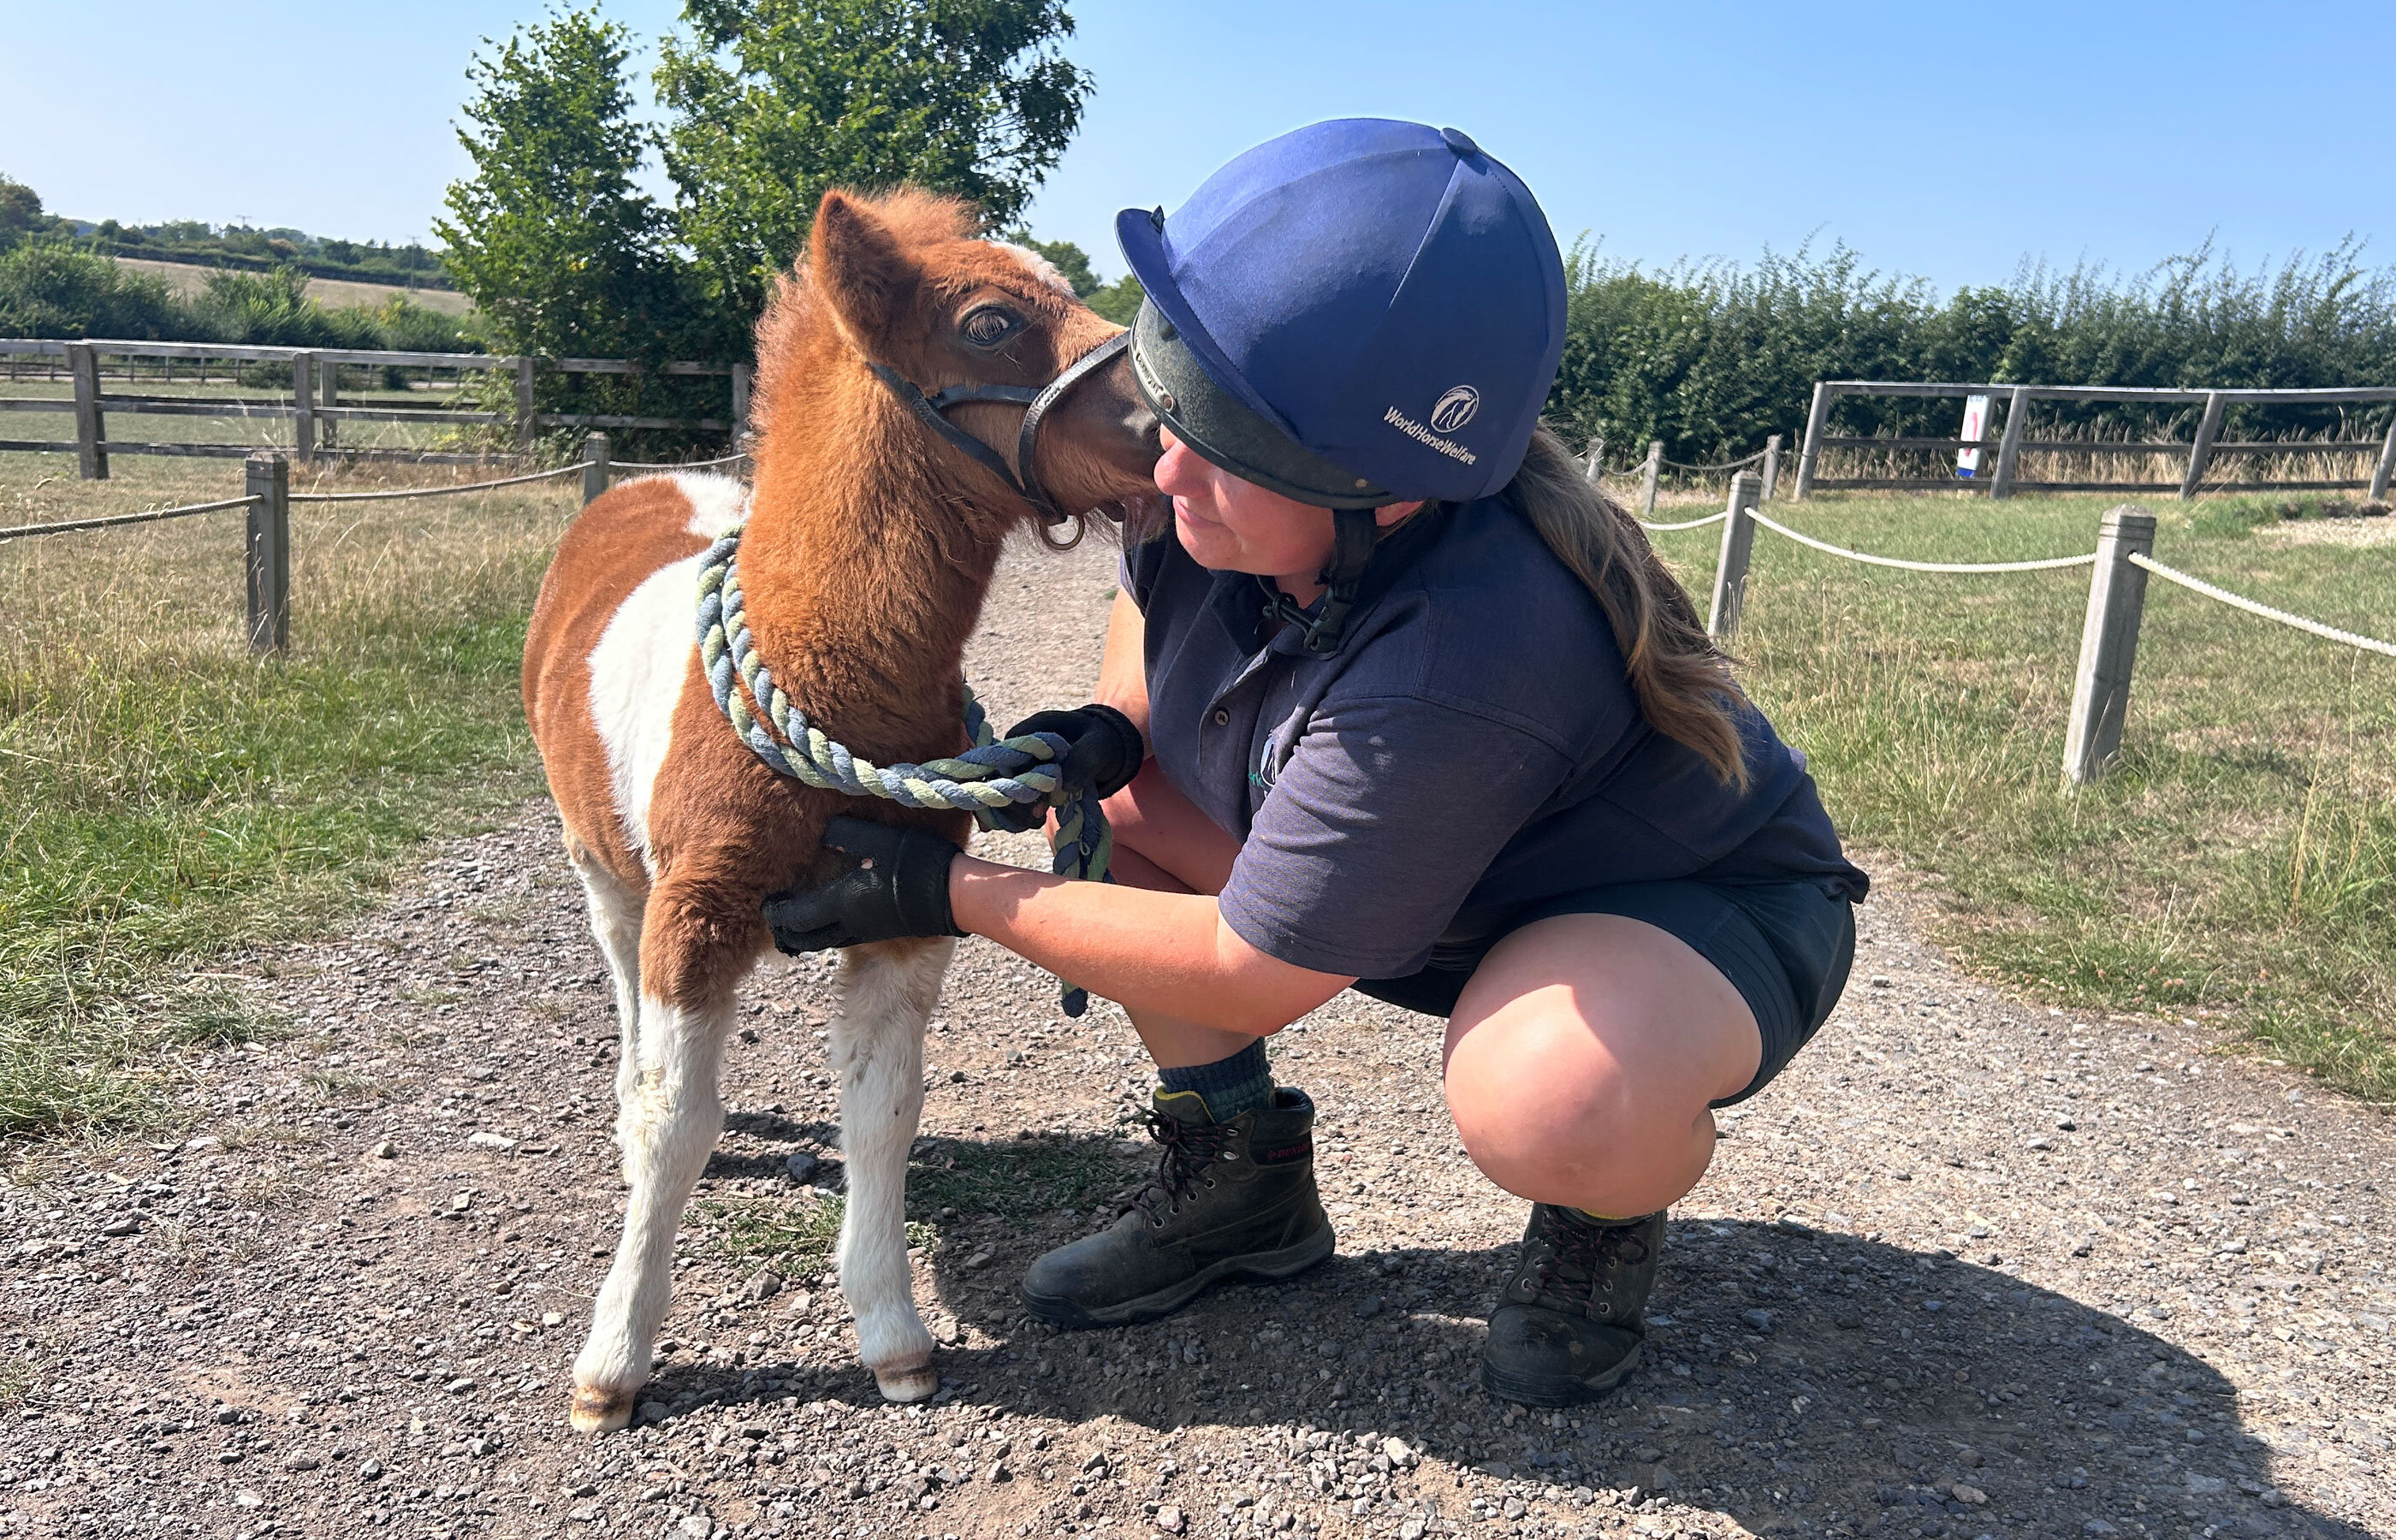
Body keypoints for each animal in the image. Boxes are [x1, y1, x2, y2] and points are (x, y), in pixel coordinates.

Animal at [520, 187, 1158, 1431]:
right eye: (992, 322)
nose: (1177, 423)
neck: (829, 692)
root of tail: (641, 483)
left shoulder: (900, 918)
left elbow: (881, 1113)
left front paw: (894, 1336)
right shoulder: (694, 920)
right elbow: (674, 1125)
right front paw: (612, 1362)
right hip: (603, 864)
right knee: (620, 979)